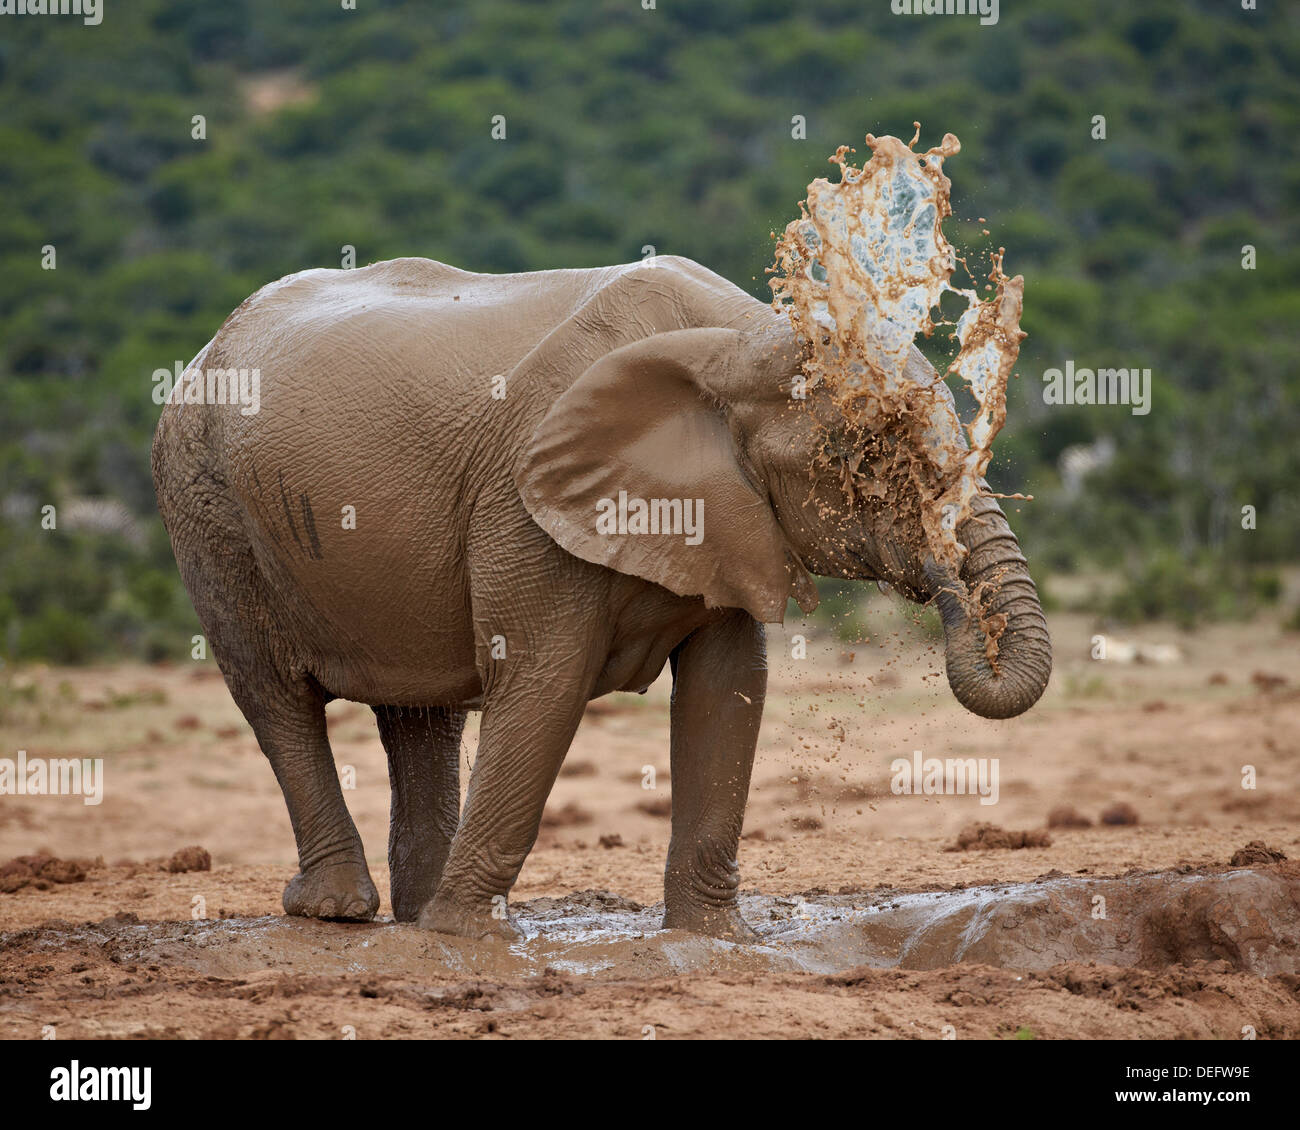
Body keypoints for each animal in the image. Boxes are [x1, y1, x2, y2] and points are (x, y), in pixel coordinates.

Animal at [151, 254, 1051, 941]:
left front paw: (715, 940)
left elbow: (729, 690)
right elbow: (543, 684)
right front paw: (469, 937)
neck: (733, 341)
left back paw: (409, 917)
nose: (944, 594)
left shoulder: (728, 517)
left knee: (419, 715)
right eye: (868, 457)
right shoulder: (523, 501)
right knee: (274, 695)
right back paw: (339, 913)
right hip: (207, 506)